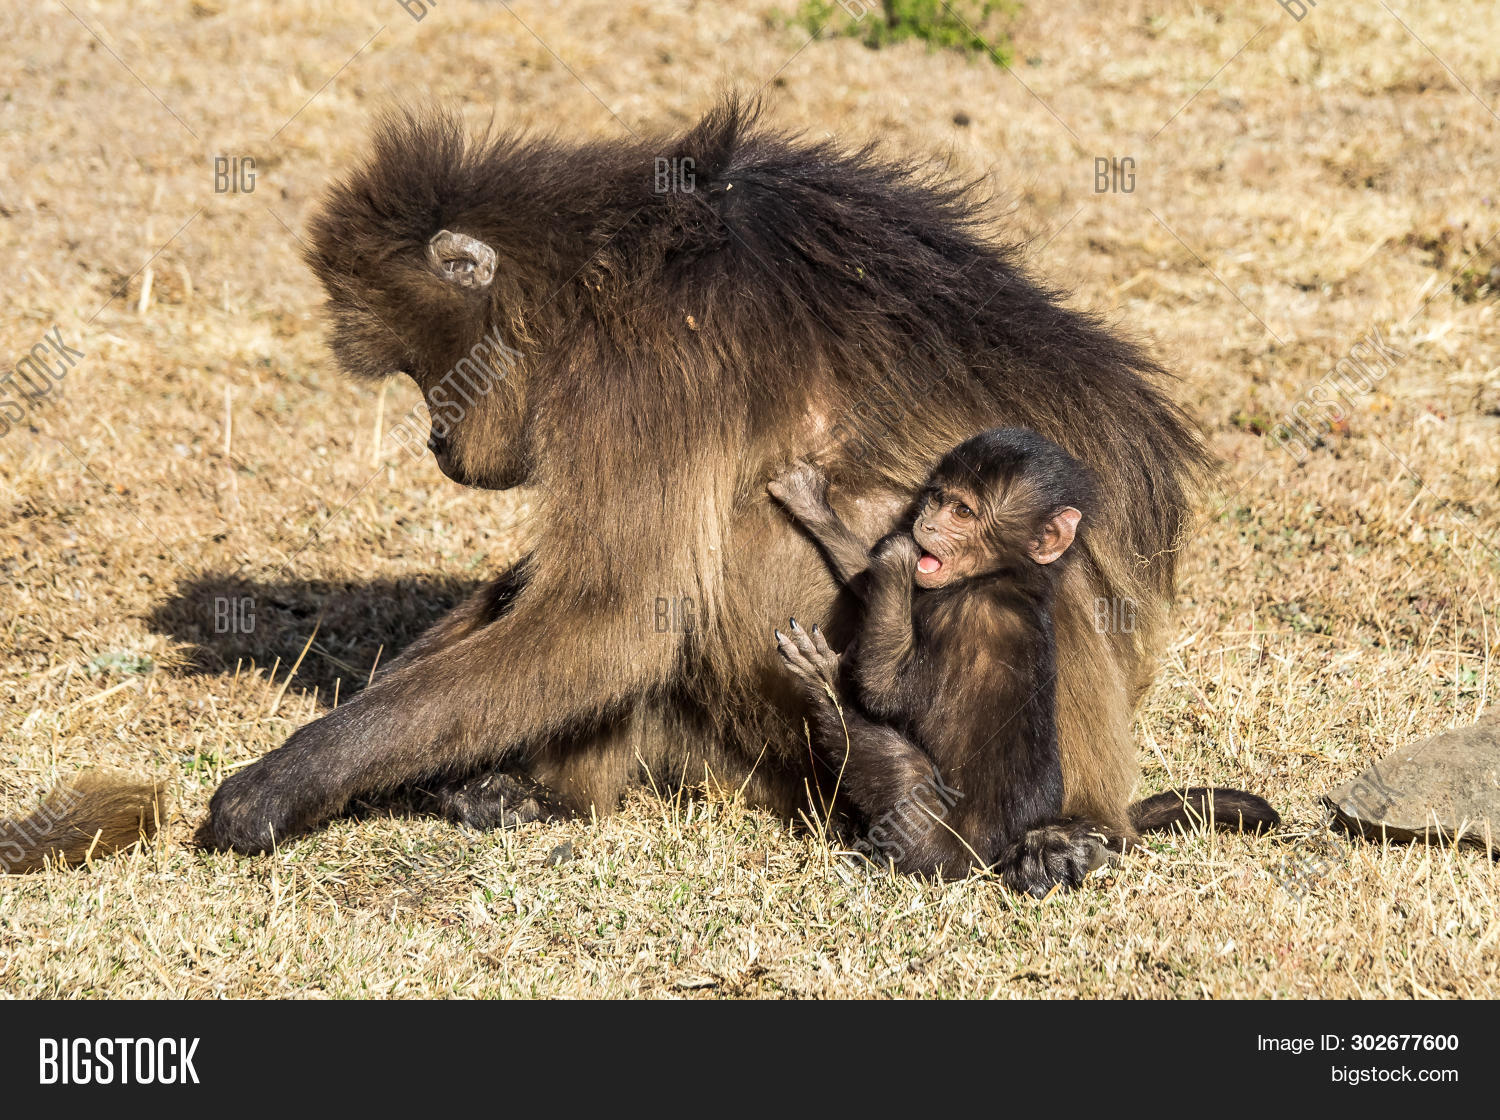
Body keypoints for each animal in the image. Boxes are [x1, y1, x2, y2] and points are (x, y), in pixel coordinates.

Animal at [769, 430, 1278, 894]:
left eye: (961, 512)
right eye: (937, 498)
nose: (924, 524)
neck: (1004, 578)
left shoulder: (968, 618)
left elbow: (882, 689)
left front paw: (894, 559)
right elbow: (865, 580)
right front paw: (814, 507)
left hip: (940, 842)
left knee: (899, 771)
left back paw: (823, 686)